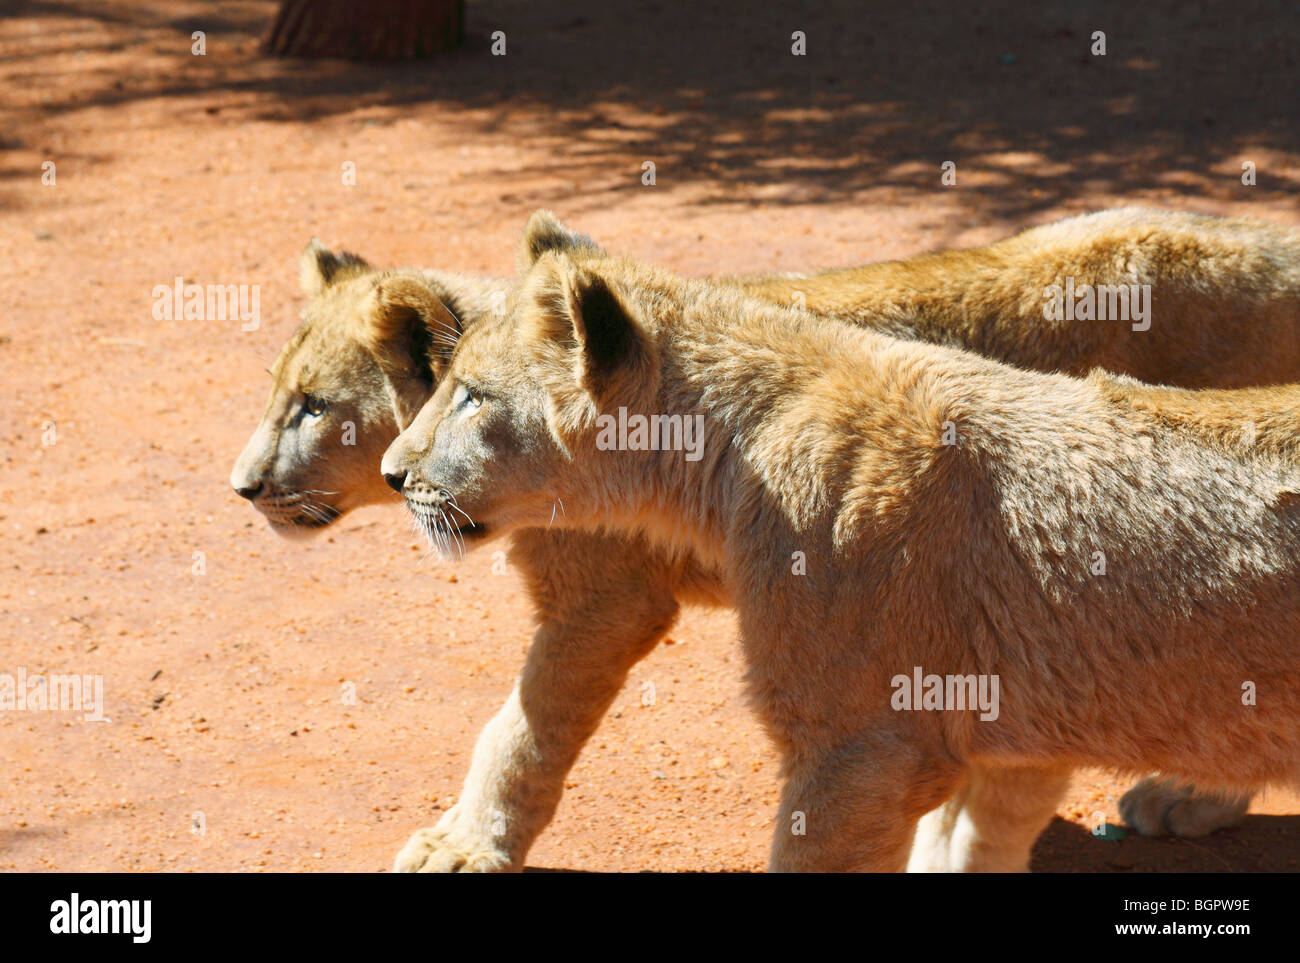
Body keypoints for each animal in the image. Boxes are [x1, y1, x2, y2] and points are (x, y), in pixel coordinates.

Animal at [232, 208, 1299, 870]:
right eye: (279, 394)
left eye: (315, 406)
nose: (243, 488)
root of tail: (1267, 238)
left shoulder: (610, 604)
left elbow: (521, 731)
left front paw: (464, 845)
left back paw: (1188, 792)